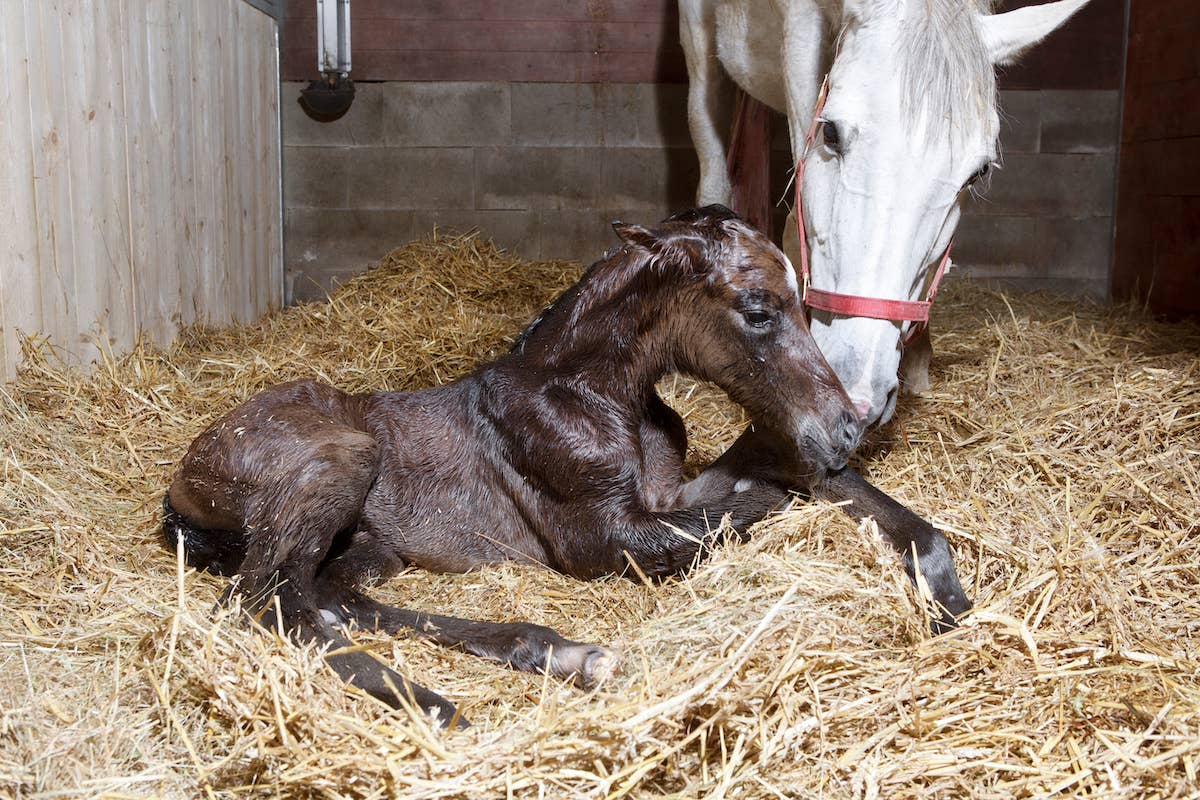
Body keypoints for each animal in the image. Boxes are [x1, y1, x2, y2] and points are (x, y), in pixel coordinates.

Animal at [161, 206, 970, 727]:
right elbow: (739, 513)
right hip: (341, 460)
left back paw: (559, 654)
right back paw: (437, 704)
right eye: (758, 310)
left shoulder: (667, 491)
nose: (846, 428)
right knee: (261, 601)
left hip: (370, 546)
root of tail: (181, 481)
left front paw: (947, 597)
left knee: (330, 598)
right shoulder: (601, 538)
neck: (589, 394)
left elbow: (771, 481)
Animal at [680, 0, 1090, 425]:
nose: (857, 396)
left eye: (978, 173)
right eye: (830, 132)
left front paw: (917, 363)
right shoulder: (801, 38)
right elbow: (796, 227)